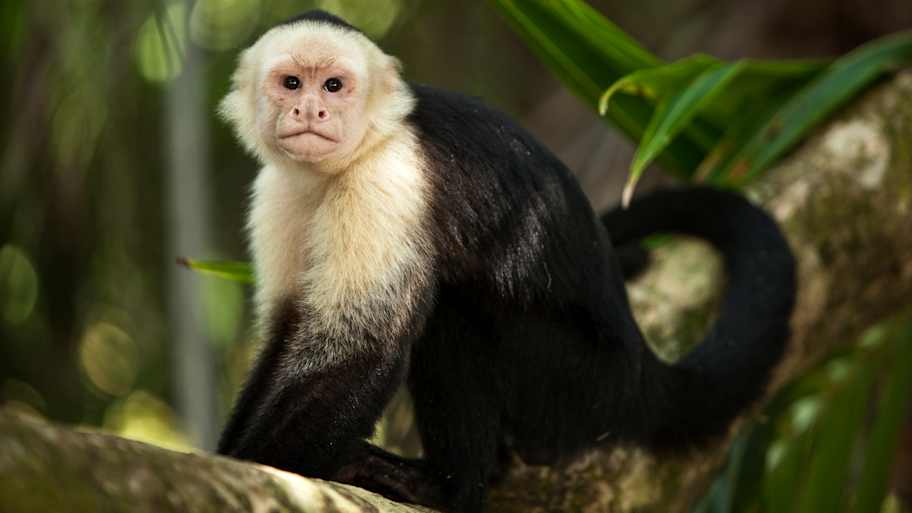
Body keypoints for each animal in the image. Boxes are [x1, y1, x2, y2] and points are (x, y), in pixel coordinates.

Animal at [216, 10, 795, 513]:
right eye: (292, 83)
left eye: (334, 86)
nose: (311, 111)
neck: (345, 161)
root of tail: (638, 374)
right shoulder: (277, 190)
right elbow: (288, 330)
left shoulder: (389, 178)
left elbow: (360, 347)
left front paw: (261, 464)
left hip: (573, 388)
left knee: (452, 311)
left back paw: (449, 489)